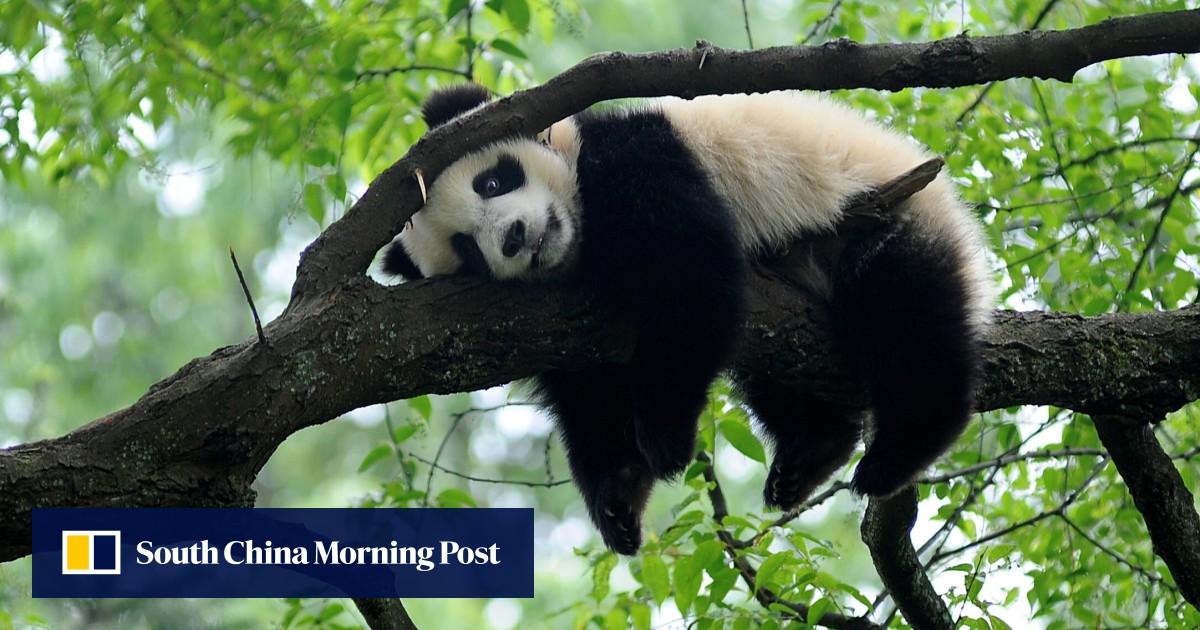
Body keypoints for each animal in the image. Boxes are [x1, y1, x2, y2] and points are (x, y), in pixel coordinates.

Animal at [383, 84, 994, 555]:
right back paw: (811, 450)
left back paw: (897, 451)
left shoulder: (636, 159)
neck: (578, 237)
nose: (512, 237)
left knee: (907, 320)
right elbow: (588, 391)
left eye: (491, 182)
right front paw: (618, 494)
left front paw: (666, 437)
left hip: (886, 217)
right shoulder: (555, 321)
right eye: (467, 249)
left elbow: (690, 275)